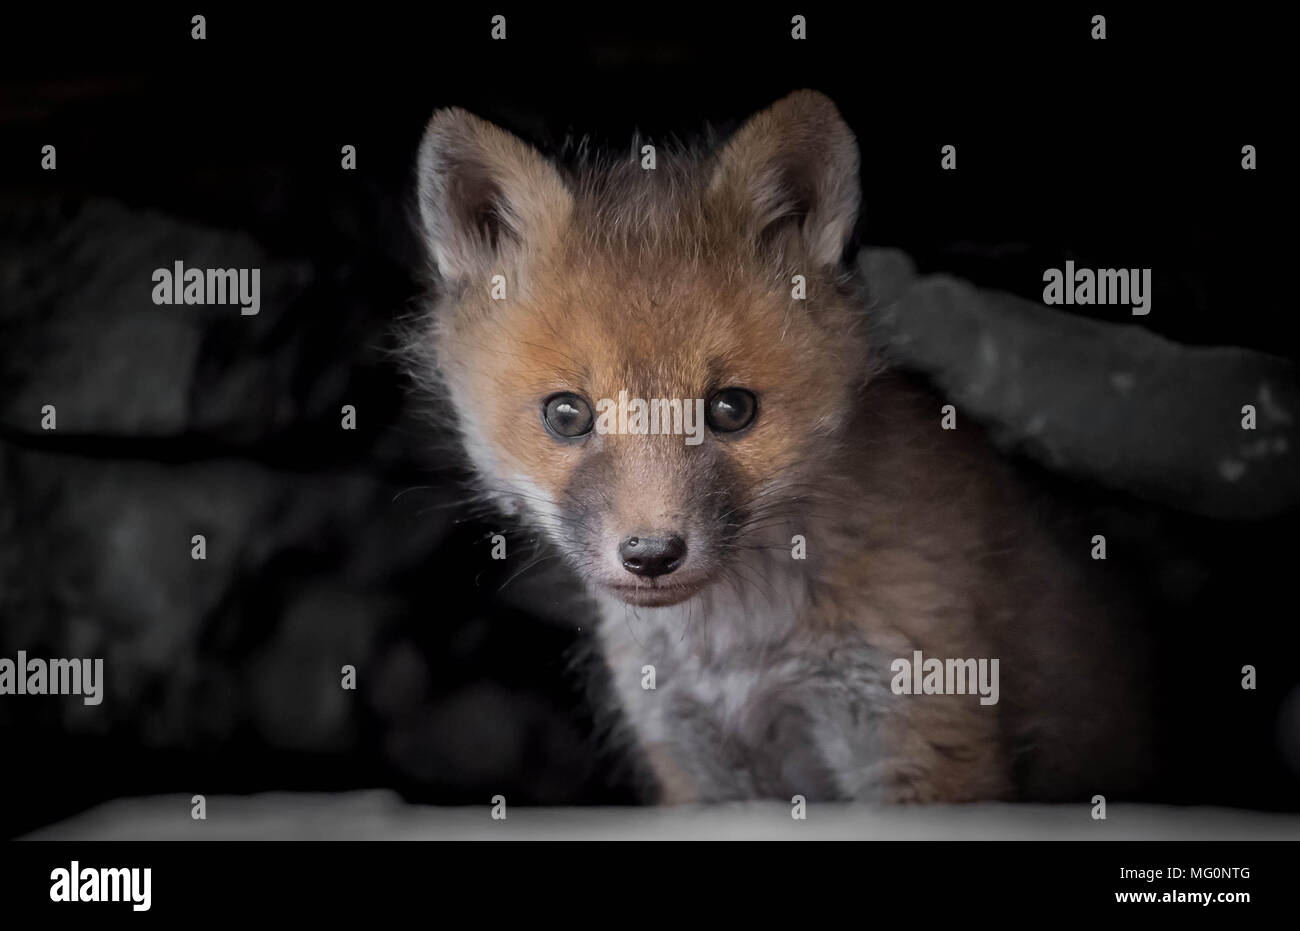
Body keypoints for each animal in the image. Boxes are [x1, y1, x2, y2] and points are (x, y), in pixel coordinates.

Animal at [408, 90, 1152, 804]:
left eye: (731, 409)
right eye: (567, 415)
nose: (651, 555)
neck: (740, 653)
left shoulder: (916, 732)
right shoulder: (697, 757)